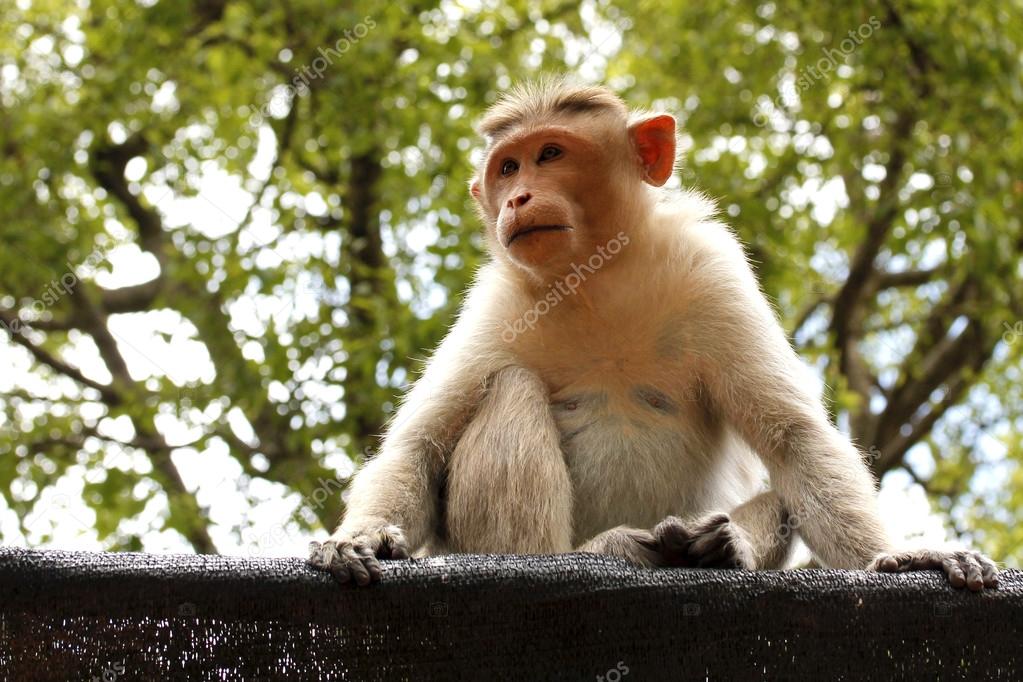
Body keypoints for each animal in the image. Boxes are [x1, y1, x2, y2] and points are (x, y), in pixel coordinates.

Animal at [308, 78, 999, 591]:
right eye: (506, 166)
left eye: (550, 154)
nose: (518, 197)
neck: (597, 278)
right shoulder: (496, 304)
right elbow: (419, 448)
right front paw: (363, 536)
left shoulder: (712, 269)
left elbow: (794, 437)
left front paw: (898, 557)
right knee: (510, 387)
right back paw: (596, 553)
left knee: (780, 493)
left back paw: (714, 547)